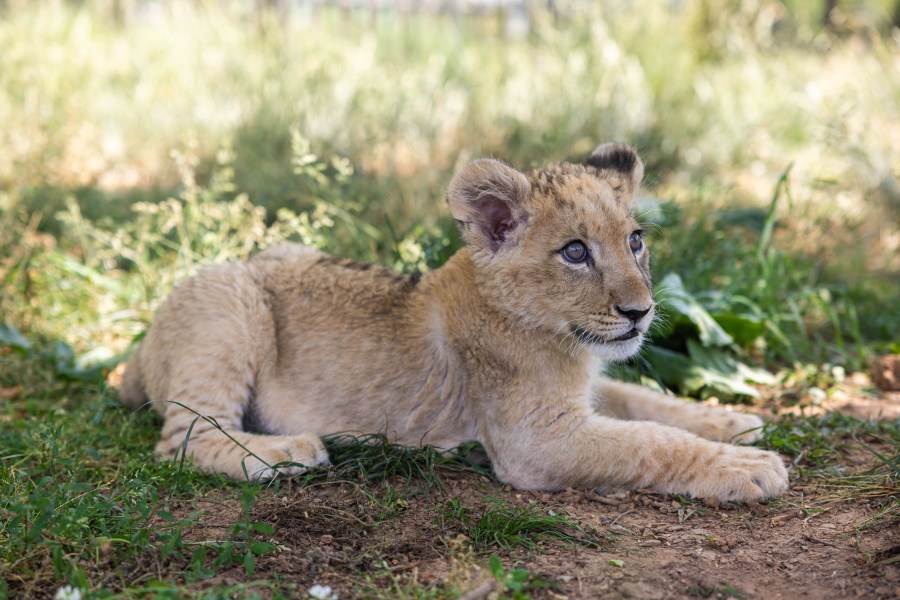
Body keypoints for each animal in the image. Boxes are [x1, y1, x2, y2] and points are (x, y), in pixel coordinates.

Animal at [120, 143, 788, 501]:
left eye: (635, 241)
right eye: (575, 252)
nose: (640, 312)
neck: (563, 340)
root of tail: (140, 349)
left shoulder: (588, 388)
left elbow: (650, 403)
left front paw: (735, 423)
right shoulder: (532, 440)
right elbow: (650, 441)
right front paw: (750, 467)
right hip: (227, 296)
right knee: (182, 440)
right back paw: (287, 451)